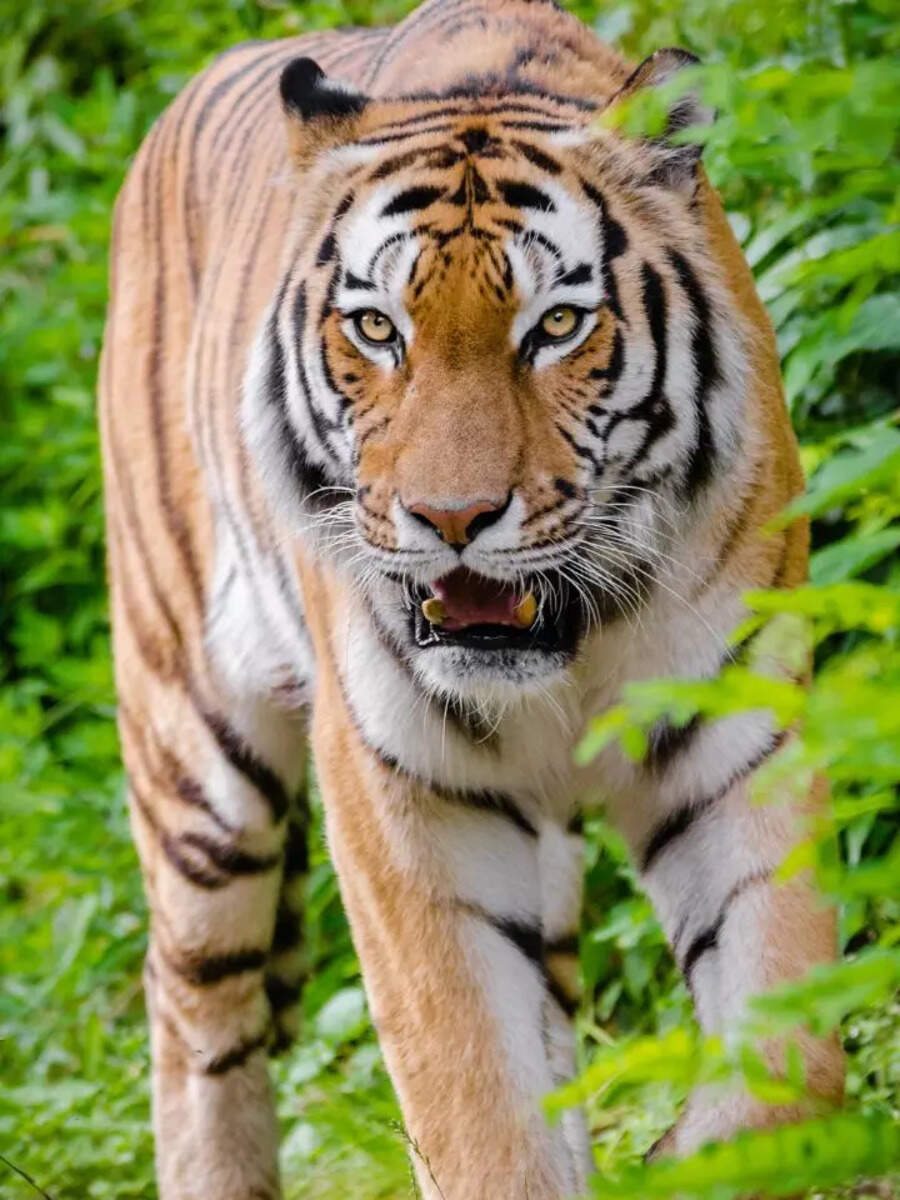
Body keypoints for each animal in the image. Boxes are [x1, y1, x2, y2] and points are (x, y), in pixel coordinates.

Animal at [98, 0, 845, 1196]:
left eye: (555, 327)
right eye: (376, 330)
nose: (451, 519)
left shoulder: (733, 731)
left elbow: (788, 1058)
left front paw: (683, 1155)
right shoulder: (402, 789)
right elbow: (477, 1110)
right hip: (195, 757)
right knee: (196, 1015)